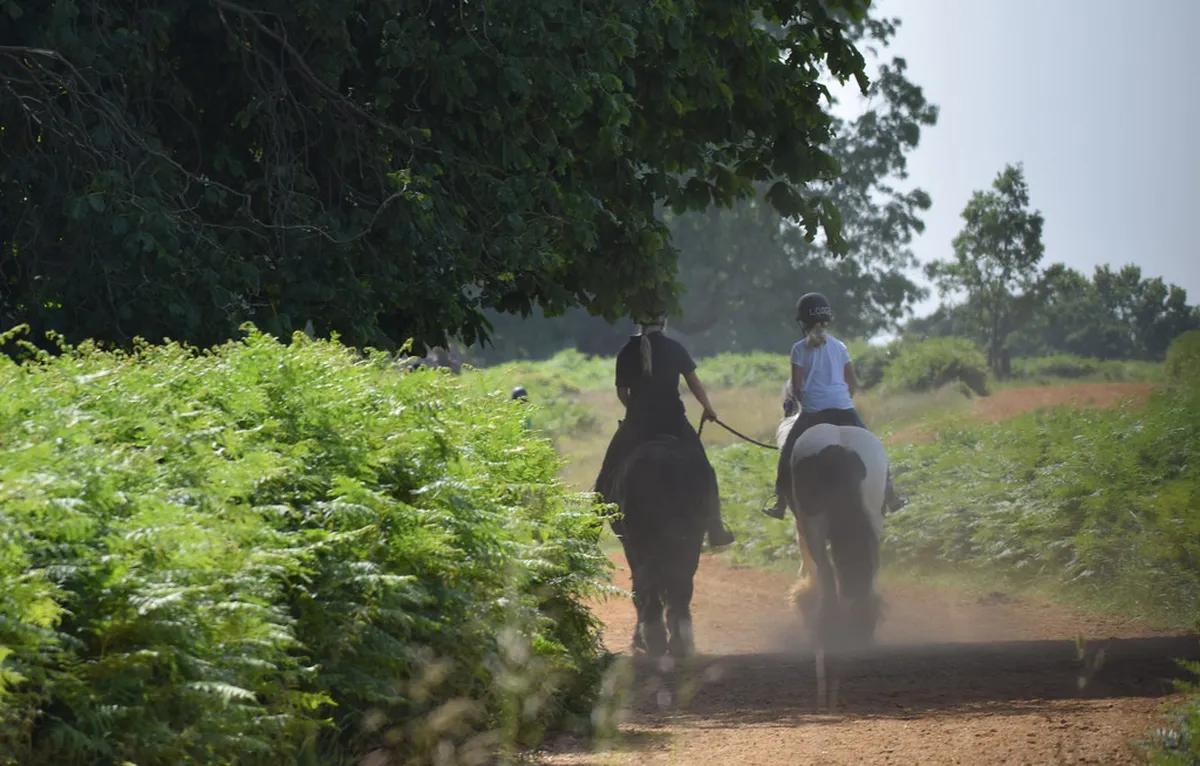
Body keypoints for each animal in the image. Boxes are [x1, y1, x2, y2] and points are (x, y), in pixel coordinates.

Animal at [607, 436, 714, 658]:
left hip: (643, 545)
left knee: (647, 586)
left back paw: (653, 639)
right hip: (687, 542)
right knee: (679, 585)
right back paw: (677, 642)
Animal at [776, 415, 887, 648]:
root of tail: (840, 449)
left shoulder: (802, 521)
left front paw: (805, 590)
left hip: (813, 523)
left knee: (825, 568)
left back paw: (828, 621)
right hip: (873, 517)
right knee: (871, 565)